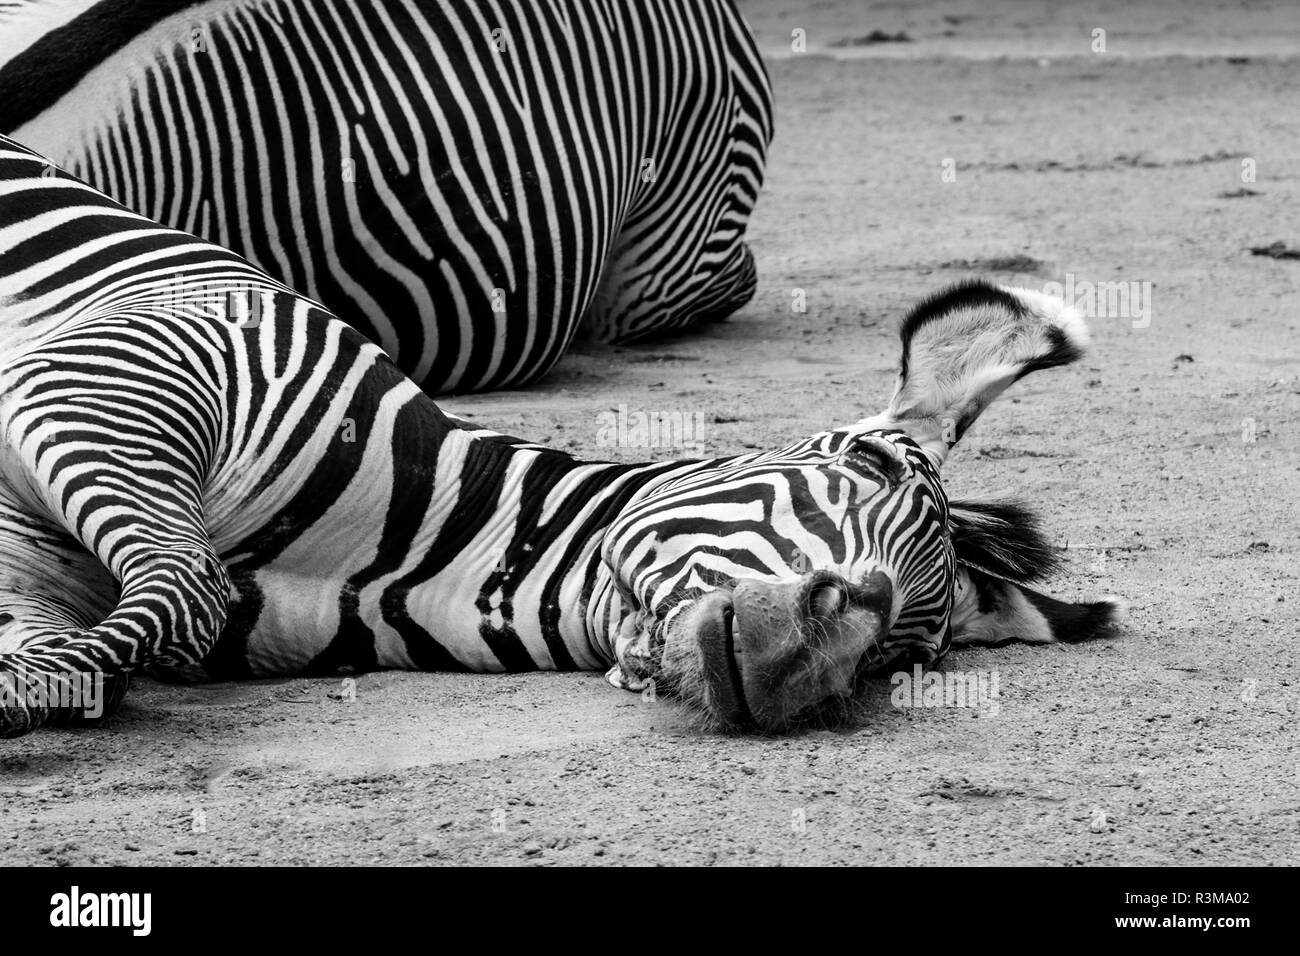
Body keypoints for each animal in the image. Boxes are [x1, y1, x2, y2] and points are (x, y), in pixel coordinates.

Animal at [0, 135, 1117, 736]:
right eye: (865, 462)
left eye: (900, 656)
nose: (817, 649)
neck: (399, 556)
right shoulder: (106, 375)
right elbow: (181, 588)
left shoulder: (37, 570)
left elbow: (98, 654)